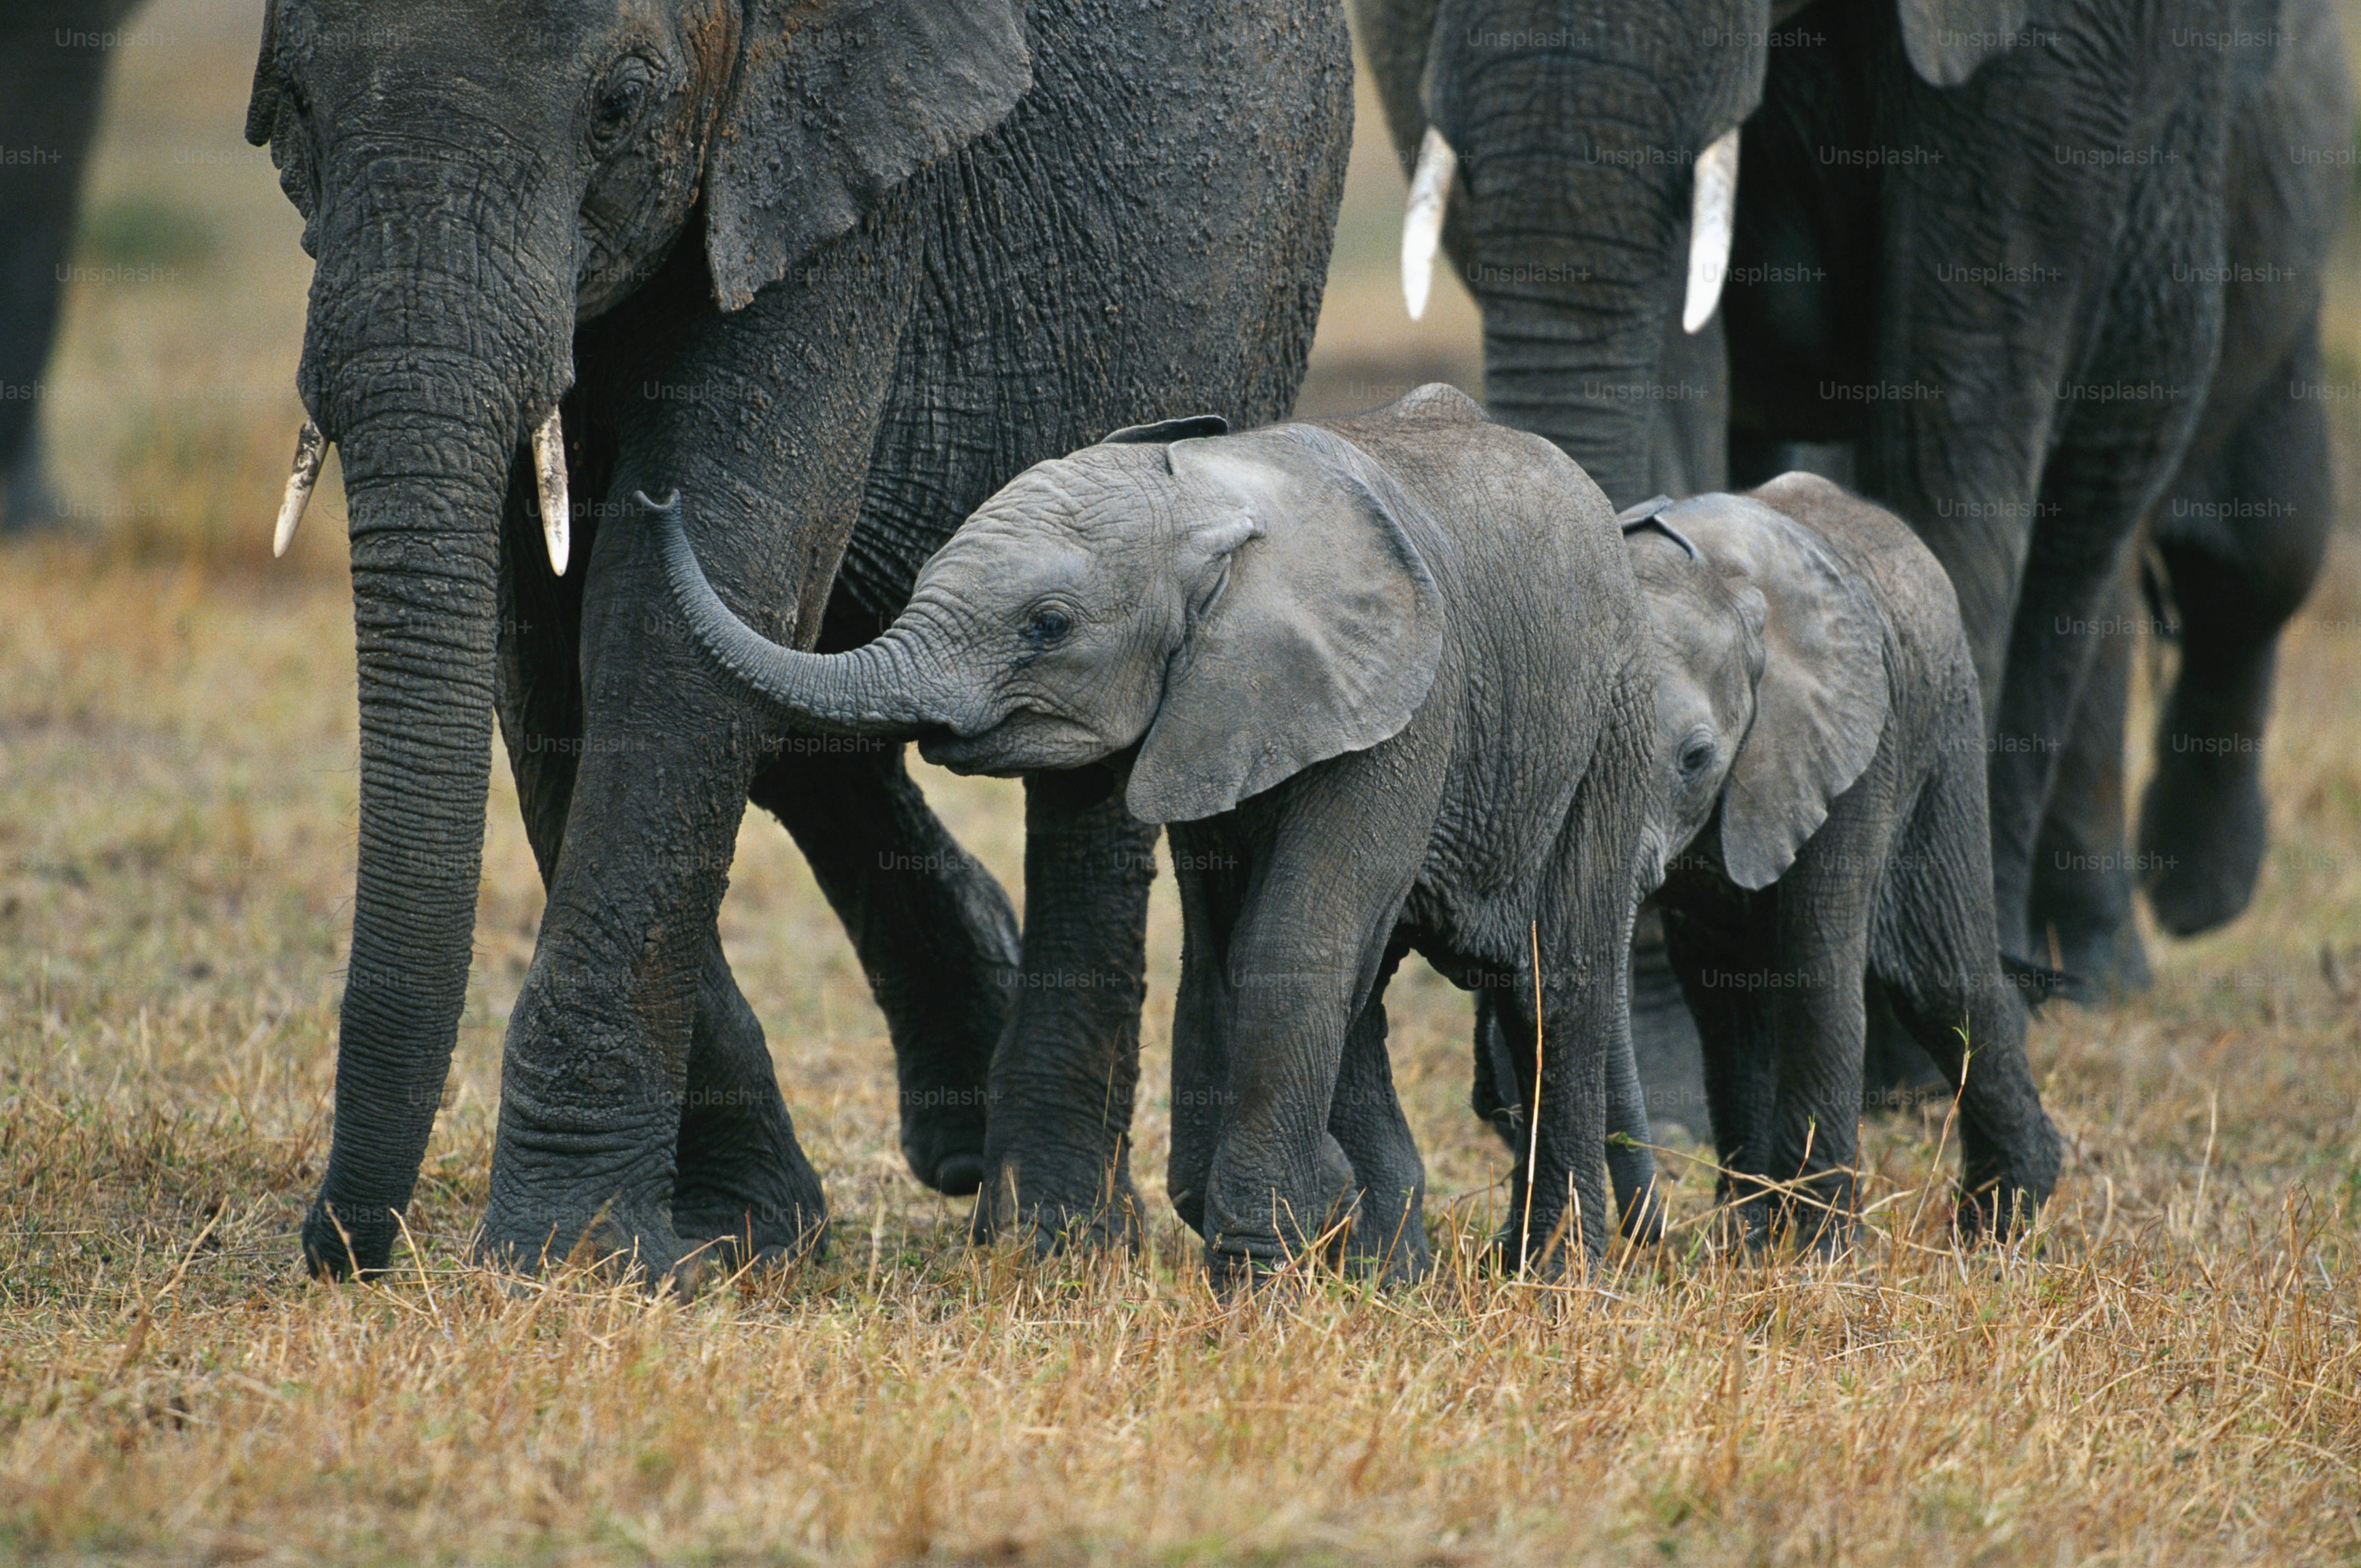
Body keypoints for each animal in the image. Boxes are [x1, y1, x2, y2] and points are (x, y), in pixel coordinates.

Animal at [248, 0, 1352, 1281]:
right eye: (291, 107)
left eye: (617, 106)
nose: (340, 1246)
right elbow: (546, 652)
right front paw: (737, 1236)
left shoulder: (839, 183)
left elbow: (686, 601)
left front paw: (570, 1256)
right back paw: (964, 1131)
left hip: (1254, 255)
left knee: (1091, 765)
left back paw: (1049, 1229)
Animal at [656, 383, 1664, 1282]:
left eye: (1047, 625)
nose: (656, 497)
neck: (1208, 502)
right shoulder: (1212, 714)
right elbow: (1225, 942)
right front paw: (1315, 1220)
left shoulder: (1409, 703)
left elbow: (1291, 939)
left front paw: (1259, 1276)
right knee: (1374, 988)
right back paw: (1394, 1273)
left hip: (1610, 721)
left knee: (1555, 985)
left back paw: (1554, 1281)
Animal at [1352, 0, 2351, 1087]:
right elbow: (1672, 360)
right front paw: (1669, 1069)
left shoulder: (2049, 58)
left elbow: (1960, 392)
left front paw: (1906, 1066)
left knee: (2172, 528)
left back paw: (2126, 943)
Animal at [1477, 473, 2062, 1244]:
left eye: (1695, 758)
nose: (1652, 1233)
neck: (1719, 585)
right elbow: (1723, 988)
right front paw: (1768, 1241)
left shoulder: (1846, 743)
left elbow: (1816, 963)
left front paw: (1818, 1250)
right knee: (1734, 997)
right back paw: (1755, 1230)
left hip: (1941, 716)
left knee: (1936, 970)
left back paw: (2002, 1222)